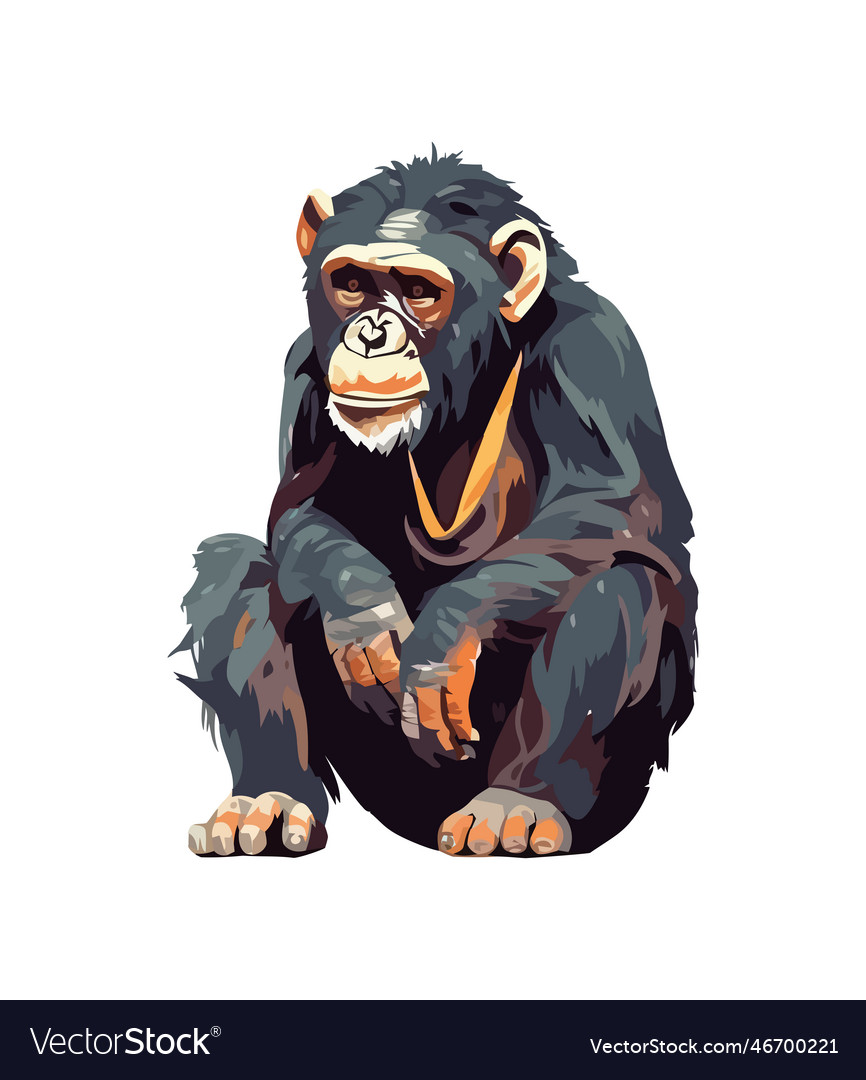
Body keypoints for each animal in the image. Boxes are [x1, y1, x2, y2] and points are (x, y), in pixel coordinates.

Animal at [177, 151, 697, 858]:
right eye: (351, 282)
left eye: (420, 291)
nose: (371, 334)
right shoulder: (306, 365)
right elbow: (296, 512)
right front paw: (363, 610)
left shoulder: (594, 347)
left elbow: (615, 505)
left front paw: (441, 643)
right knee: (235, 564)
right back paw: (270, 797)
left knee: (619, 582)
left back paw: (517, 806)